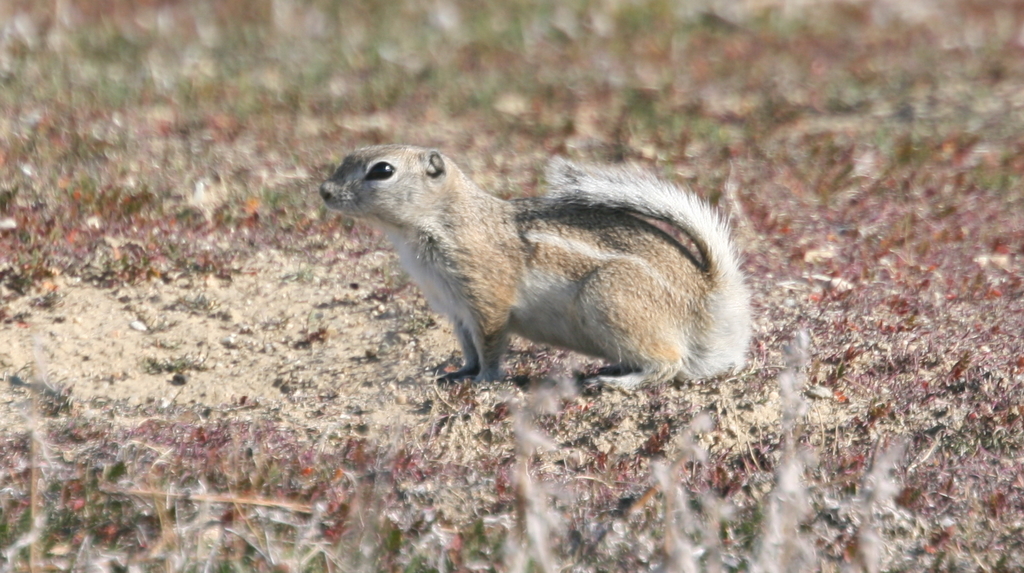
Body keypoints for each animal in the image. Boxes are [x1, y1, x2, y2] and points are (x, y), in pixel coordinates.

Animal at [319, 145, 751, 389]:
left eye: (382, 170)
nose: (324, 191)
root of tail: (713, 301)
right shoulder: (457, 310)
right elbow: (469, 348)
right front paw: (458, 373)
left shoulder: (487, 301)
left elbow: (490, 346)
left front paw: (484, 381)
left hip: (611, 300)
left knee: (670, 365)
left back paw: (619, 383)